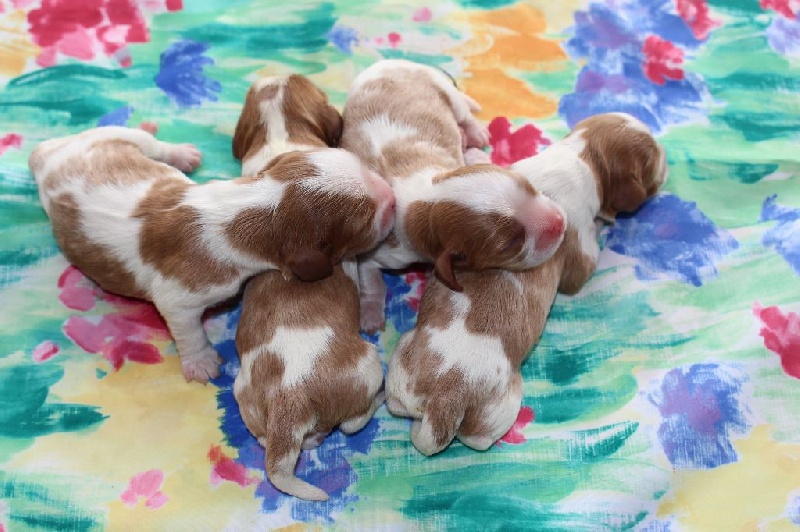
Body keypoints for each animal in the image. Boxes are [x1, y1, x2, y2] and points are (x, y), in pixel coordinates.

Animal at [30, 124, 395, 383]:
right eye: (367, 219)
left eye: (366, 168)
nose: (391, 195)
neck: (258, 201)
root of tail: (47, 163)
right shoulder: (179, 297)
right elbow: (188, 329)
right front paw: (201, 361)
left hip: (112, 135)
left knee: (147, 143)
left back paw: (181, 154)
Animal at [340, 59, 566, 333]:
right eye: (510, 244)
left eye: (529, 186)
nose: (560, 222)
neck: (425, 195)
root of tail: (389, 63)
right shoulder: (379, 250)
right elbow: (371, 280)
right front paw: (371, 314)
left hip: (444, 90)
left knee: (463, 112)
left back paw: (476, 132)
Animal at [386, 113, 669, 455]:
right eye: (653, 161)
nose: (667, 156)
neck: (584, 154)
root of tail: (445, 397)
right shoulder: (581, 252)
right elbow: (585, 261)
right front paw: (604, 226)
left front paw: (475, 155)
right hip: (501, 407)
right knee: (478, 438)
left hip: (402, 362)